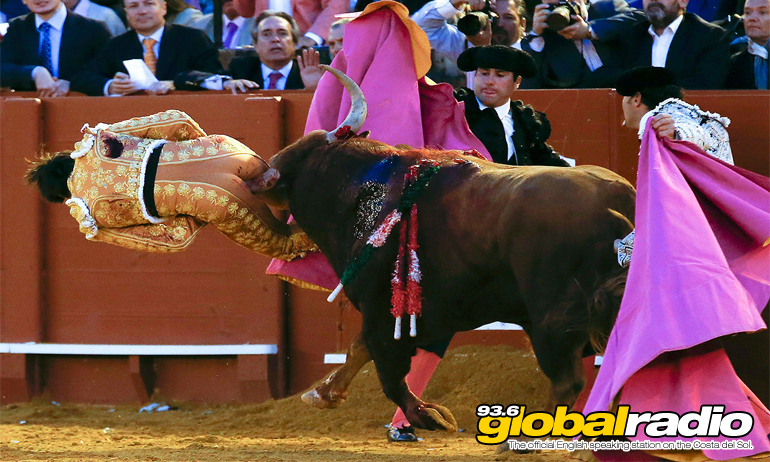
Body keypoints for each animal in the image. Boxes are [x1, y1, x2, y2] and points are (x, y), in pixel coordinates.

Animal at [249, 65, 635, 431]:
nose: (263, 175)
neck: (366, 187)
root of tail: (615, 204)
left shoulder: (382, 306)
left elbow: (385, 367)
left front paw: (426, 416)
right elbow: (361, 349)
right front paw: (324, 393)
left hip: (550, 317)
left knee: (568, 380)